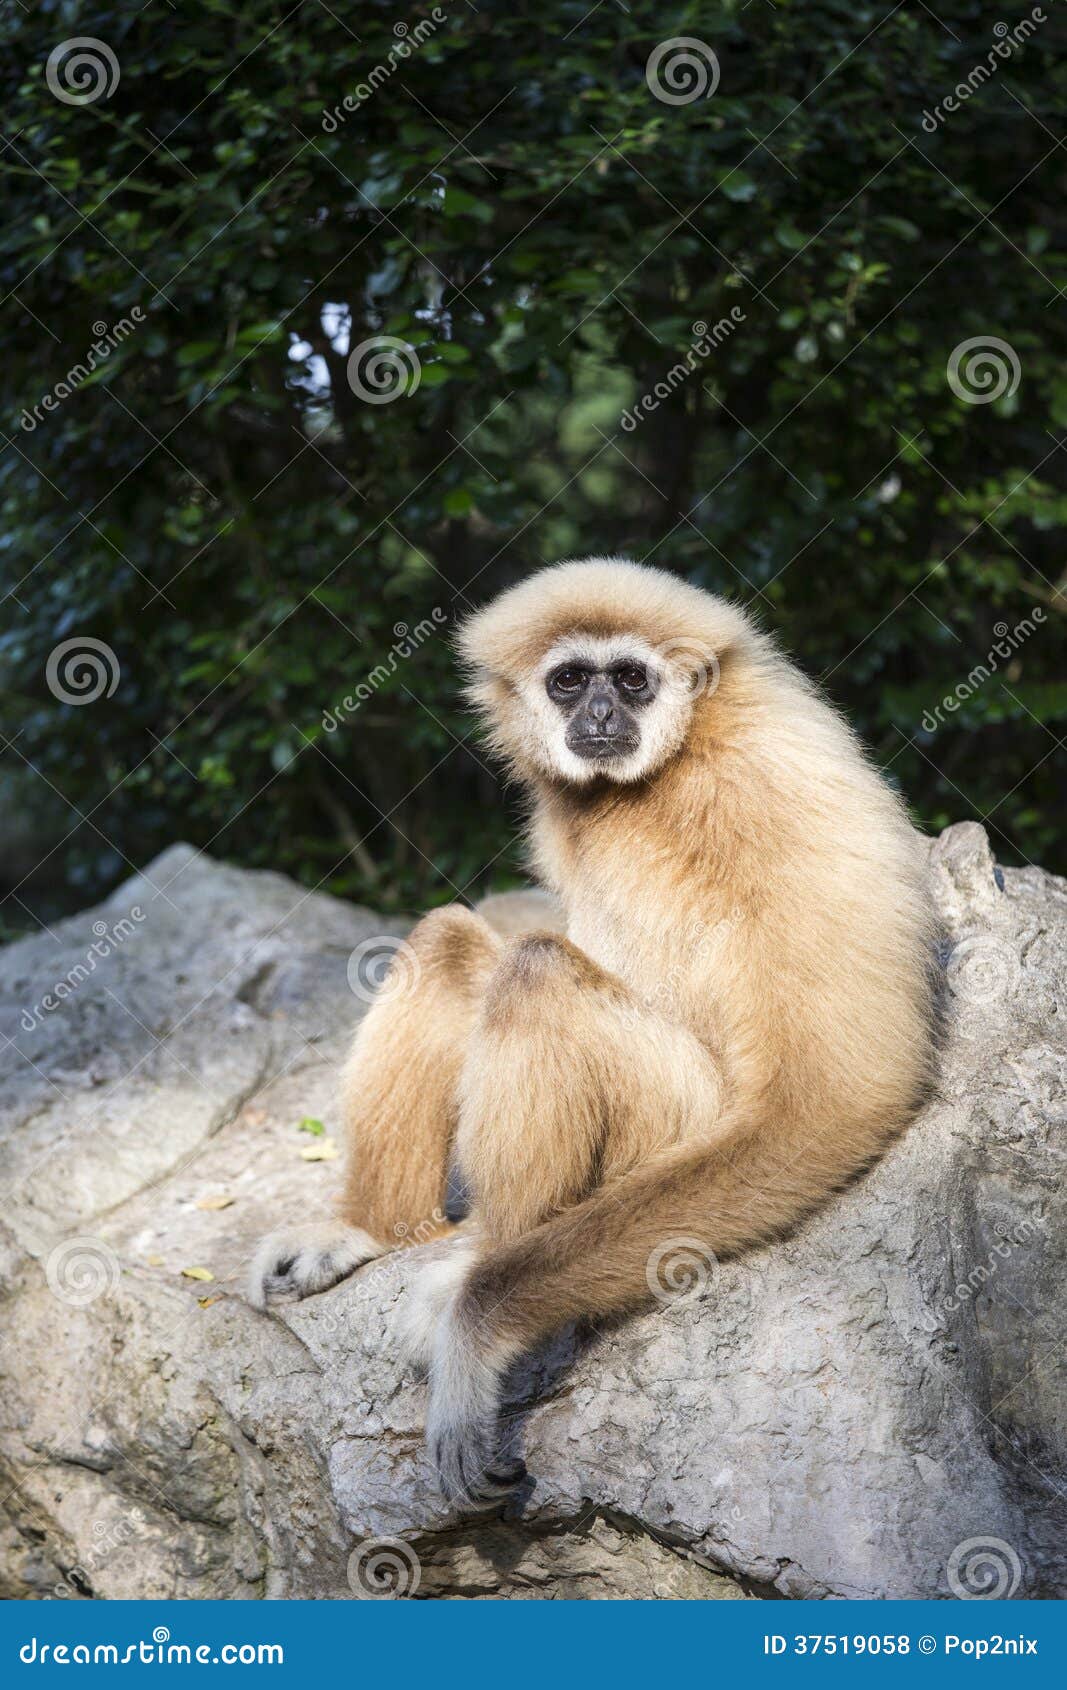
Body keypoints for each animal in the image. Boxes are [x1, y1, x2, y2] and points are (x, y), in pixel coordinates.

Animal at [249, 556, 939, 1511]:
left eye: (631, 679)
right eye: (571, 679)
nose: (603, 713)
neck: (679, 757)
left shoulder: (767, 784)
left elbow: (834, 1095)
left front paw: (476, 1329)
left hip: (676, 1119)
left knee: (536, 972)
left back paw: (475, 1260)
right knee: (449, 940)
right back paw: (373, 1232)